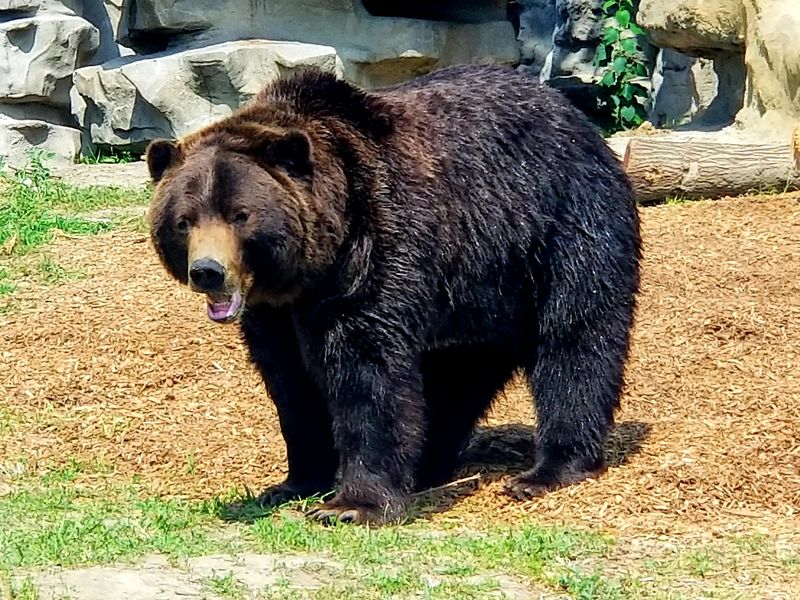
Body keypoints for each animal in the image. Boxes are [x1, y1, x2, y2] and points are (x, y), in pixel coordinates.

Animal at [146, 64, 641, 525]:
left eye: (241, 214)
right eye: (184, 220)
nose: (207, 272)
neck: (312, 269)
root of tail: (577, 119)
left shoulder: (375, 250)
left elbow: (367, 375)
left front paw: (351, 504)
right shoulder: (274, 314)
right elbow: (291, 382)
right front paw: (294, 481)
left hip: (561, 227)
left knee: (575, 340)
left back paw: (550, 467)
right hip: (481, 286)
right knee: (460, 371)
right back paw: (429, 463)